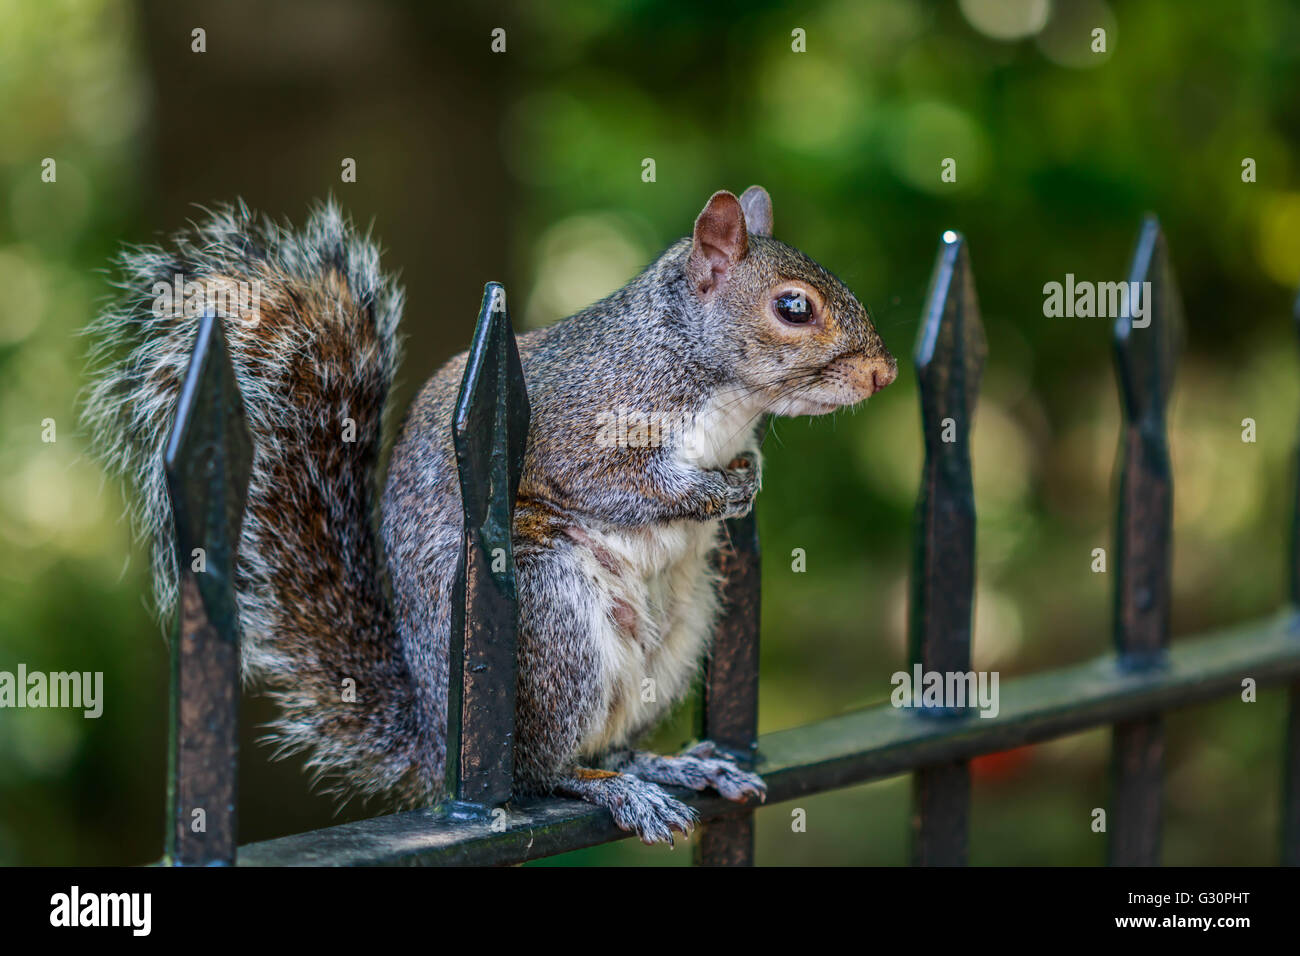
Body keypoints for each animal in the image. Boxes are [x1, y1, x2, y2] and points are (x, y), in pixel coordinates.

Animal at [83, 186, 897, 845]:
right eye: (793, 306)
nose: (883, 373)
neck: (713, 388)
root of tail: (439, 735)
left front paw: (748, 478)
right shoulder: (580, 436)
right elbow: (625, 487)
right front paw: (715, 494)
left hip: (678, 631)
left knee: (602, 743)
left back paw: (674, 767)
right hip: (552, 616)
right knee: (541, 771)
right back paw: (614, 789)